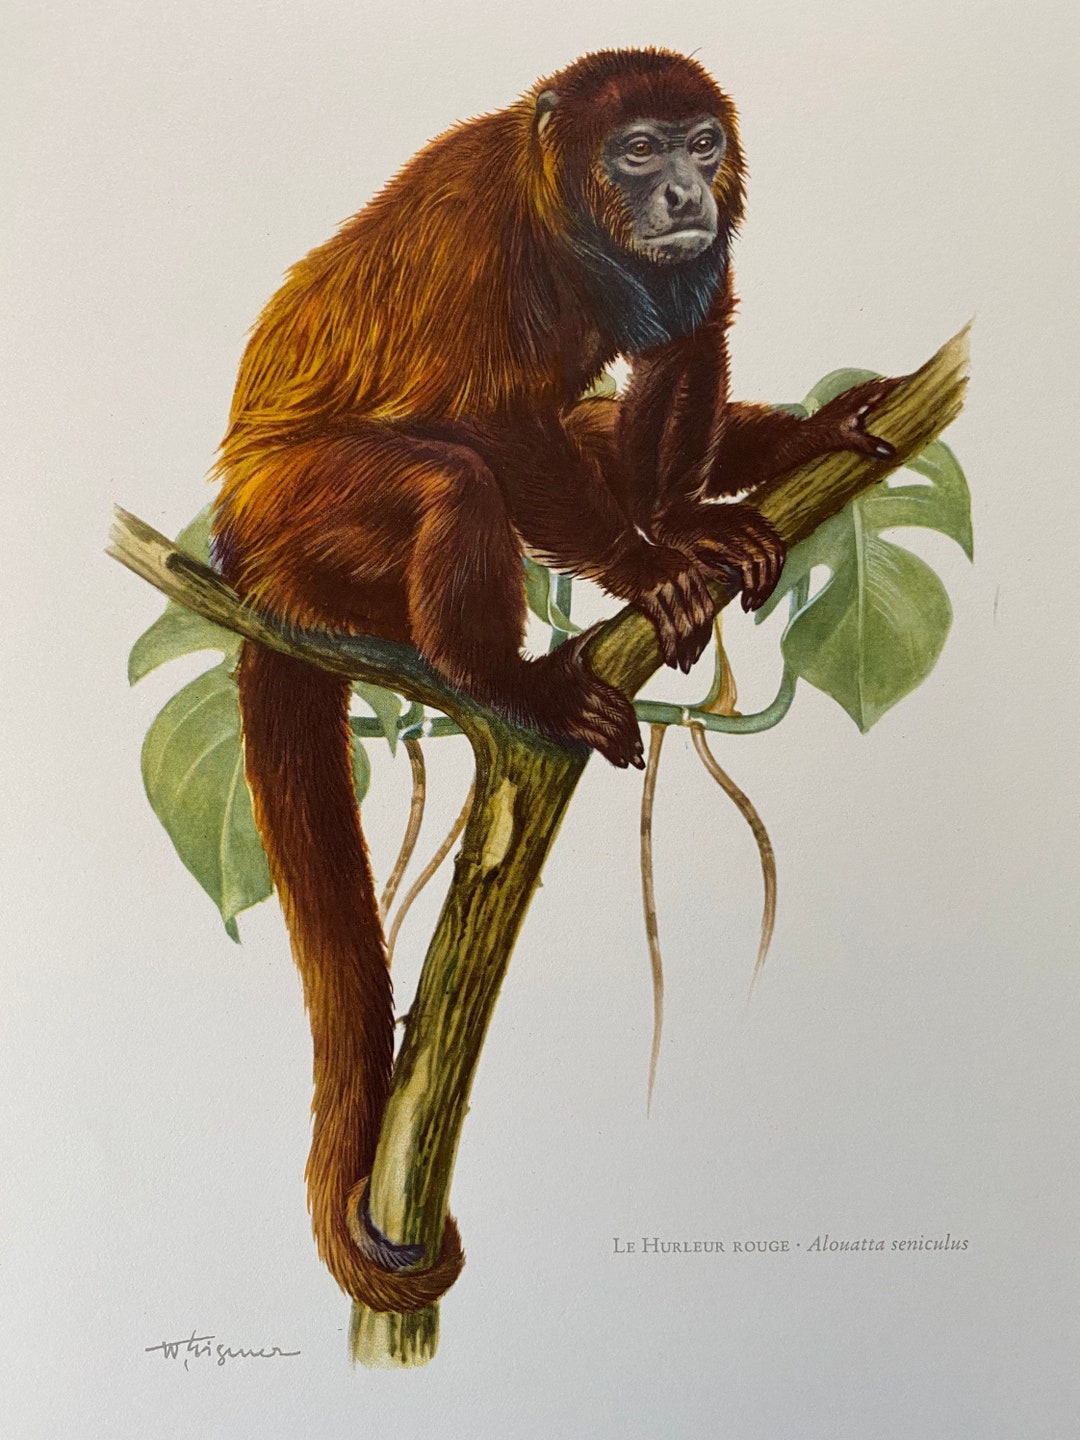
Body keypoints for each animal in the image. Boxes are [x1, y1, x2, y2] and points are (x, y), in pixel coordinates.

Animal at [211, 48, 897, 1311]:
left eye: (700, 144)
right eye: (638, 151)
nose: (682, 192)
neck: (569, 219)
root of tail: (244, 551)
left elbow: (679, 348)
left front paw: (701, 517)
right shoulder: (490, 235)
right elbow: (485, 415)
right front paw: (651, 564)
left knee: (589, 421)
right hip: (300, 515)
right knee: (457, 478)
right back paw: (507, 680)